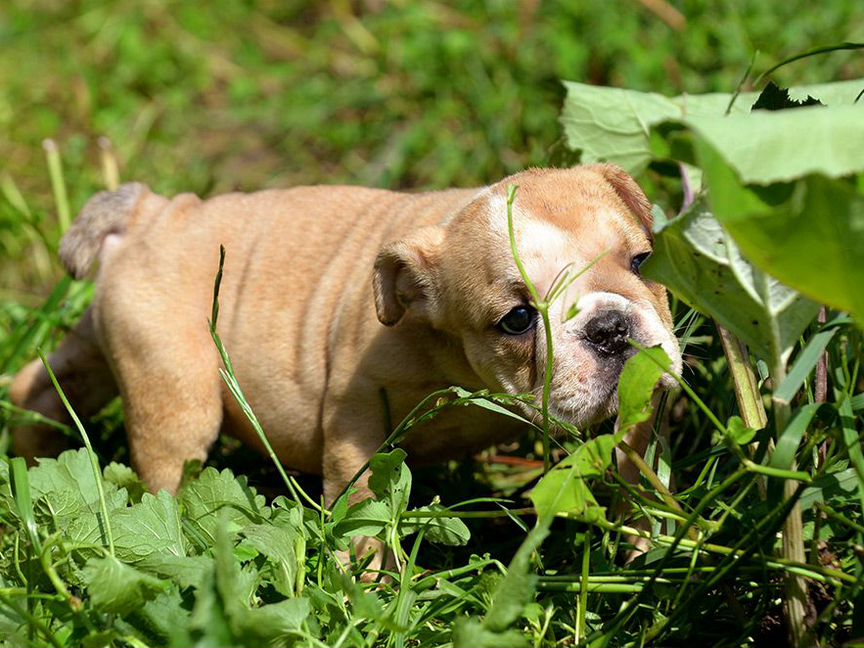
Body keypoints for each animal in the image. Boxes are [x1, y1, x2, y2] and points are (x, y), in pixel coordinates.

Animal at [8, 166, 680, 516]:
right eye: (517, 319)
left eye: (644, 262)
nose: (611, 329)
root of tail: (152, 212)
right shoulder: (358, 419)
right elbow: (361, 506)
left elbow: (637, 457)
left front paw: (646, 534)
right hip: (174, 388)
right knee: (170, 464)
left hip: (106, 339)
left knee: (40, 387)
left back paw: (32, 467)